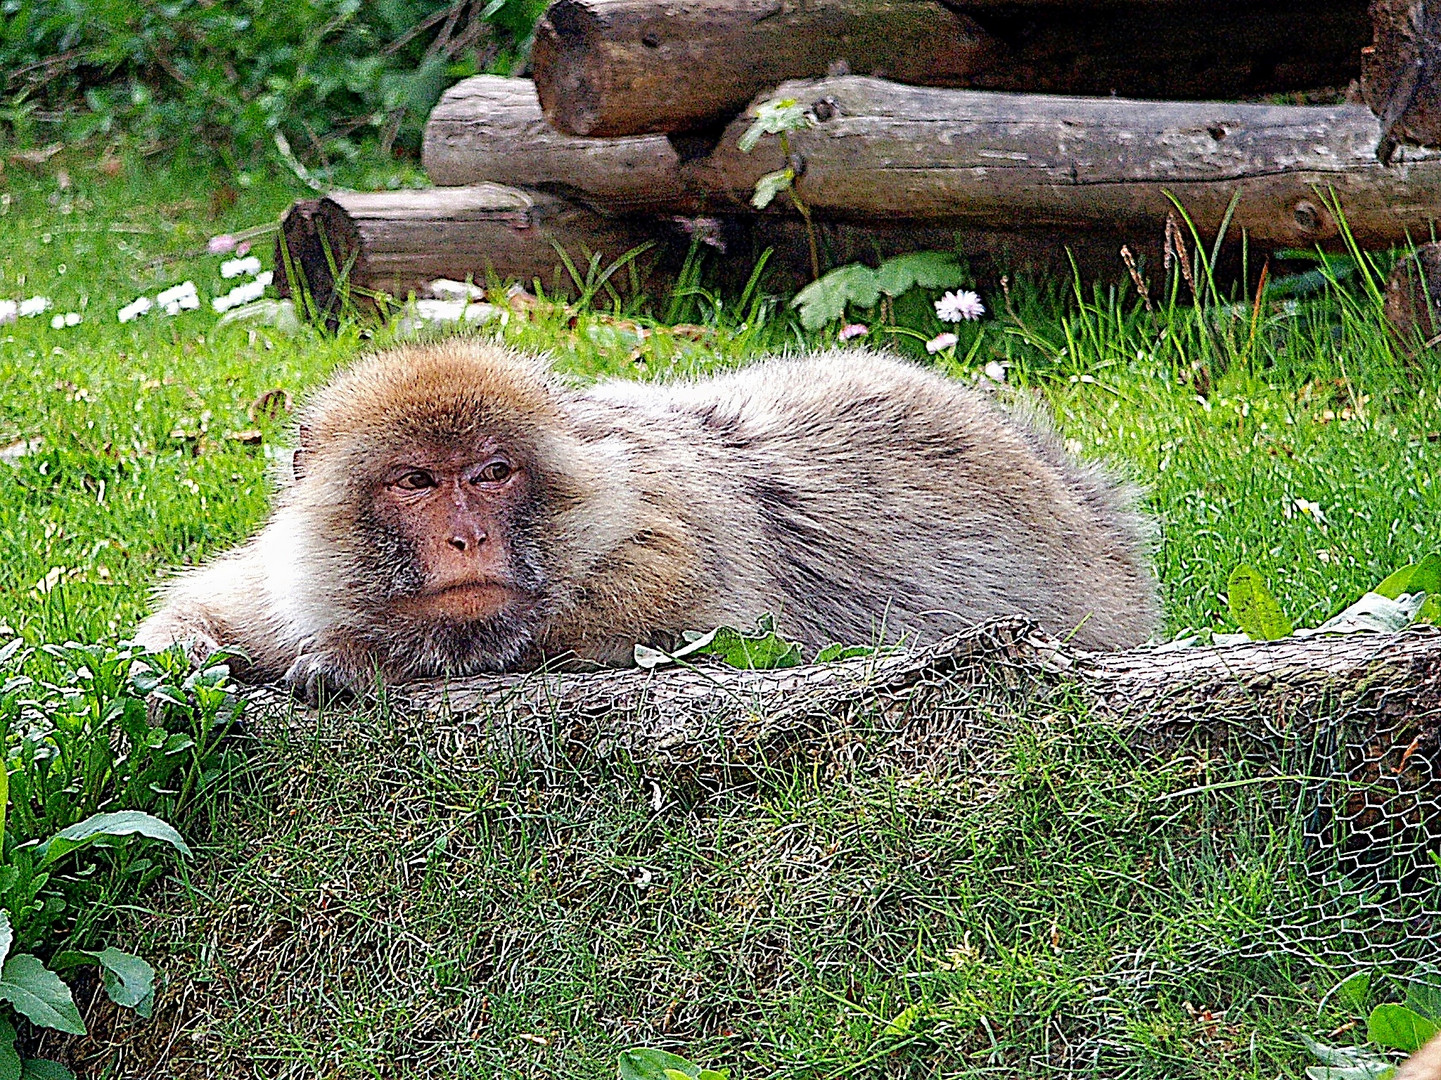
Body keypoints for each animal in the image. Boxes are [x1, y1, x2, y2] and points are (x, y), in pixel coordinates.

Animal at [135, 341, 1164, 695]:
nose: (467, 537)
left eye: (494, 473)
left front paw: (362, 660)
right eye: (417, 482)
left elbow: (674, 617)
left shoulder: (675, 524)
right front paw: (181, 652)